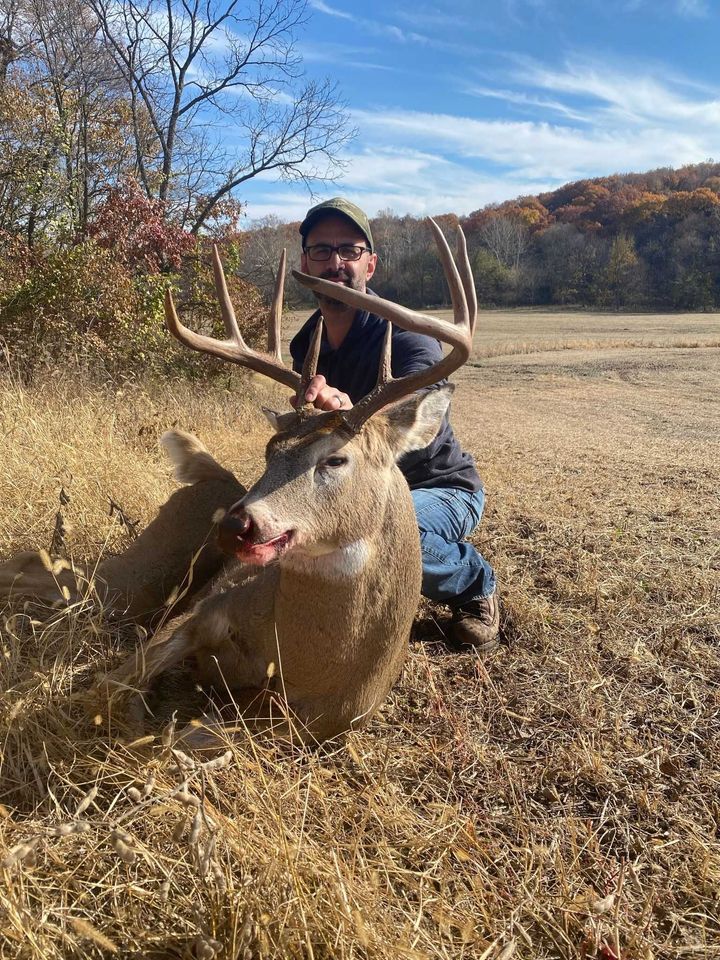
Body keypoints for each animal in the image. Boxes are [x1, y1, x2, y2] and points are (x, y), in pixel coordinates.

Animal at [0, 220, 476, 745]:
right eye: (270, 451)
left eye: (335, 459)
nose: (234, 525)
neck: (315, 662)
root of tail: (214, 473)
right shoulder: (200, 611)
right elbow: (105, 690)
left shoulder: (309, 723)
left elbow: (183, 731)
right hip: (136, 578)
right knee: (39, 569)